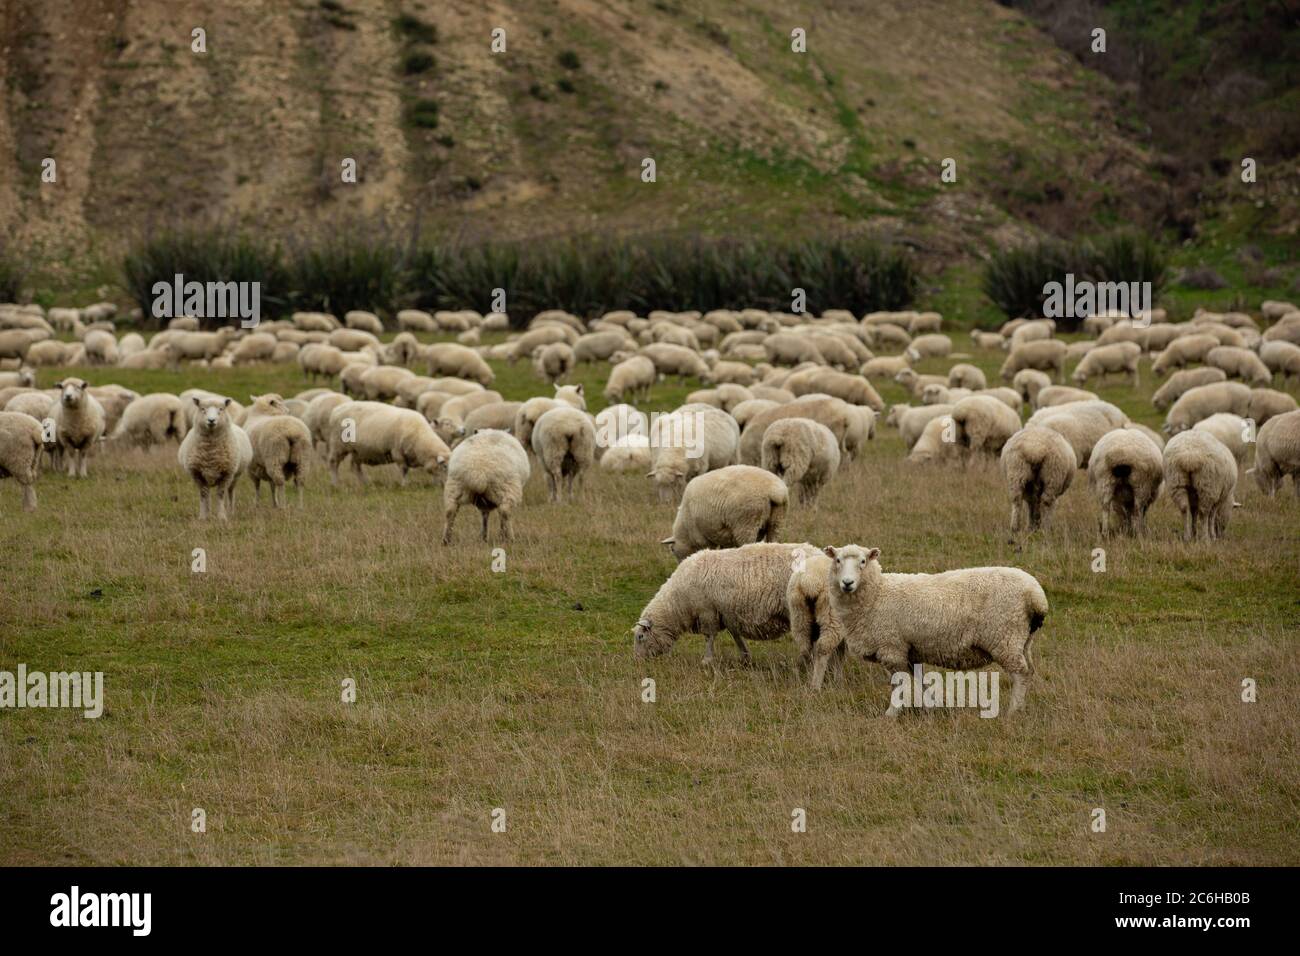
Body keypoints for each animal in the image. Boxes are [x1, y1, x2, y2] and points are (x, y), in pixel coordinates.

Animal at [632, 541, 813, 665]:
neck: (678, 602)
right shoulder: (727, 614)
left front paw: (707, 660)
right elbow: (736, 635)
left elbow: (709, 636)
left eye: (641, 636)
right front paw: (745, 657)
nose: (638, 661)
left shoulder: (707, 611)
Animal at [824, 544, 1048, 716]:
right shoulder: (910, 652)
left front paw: (891, 713)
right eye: (837, 561)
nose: (847, 583)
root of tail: (1036, 595)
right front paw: (929, 709)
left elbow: (899, 684)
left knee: (1020, 674)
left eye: (863, 562)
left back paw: (1012, 712)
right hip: (1023, 640)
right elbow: (920, 681)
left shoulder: (892, 648)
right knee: (1029, 671)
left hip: (1005, 637)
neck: (877, 594)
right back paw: (1021, 708)